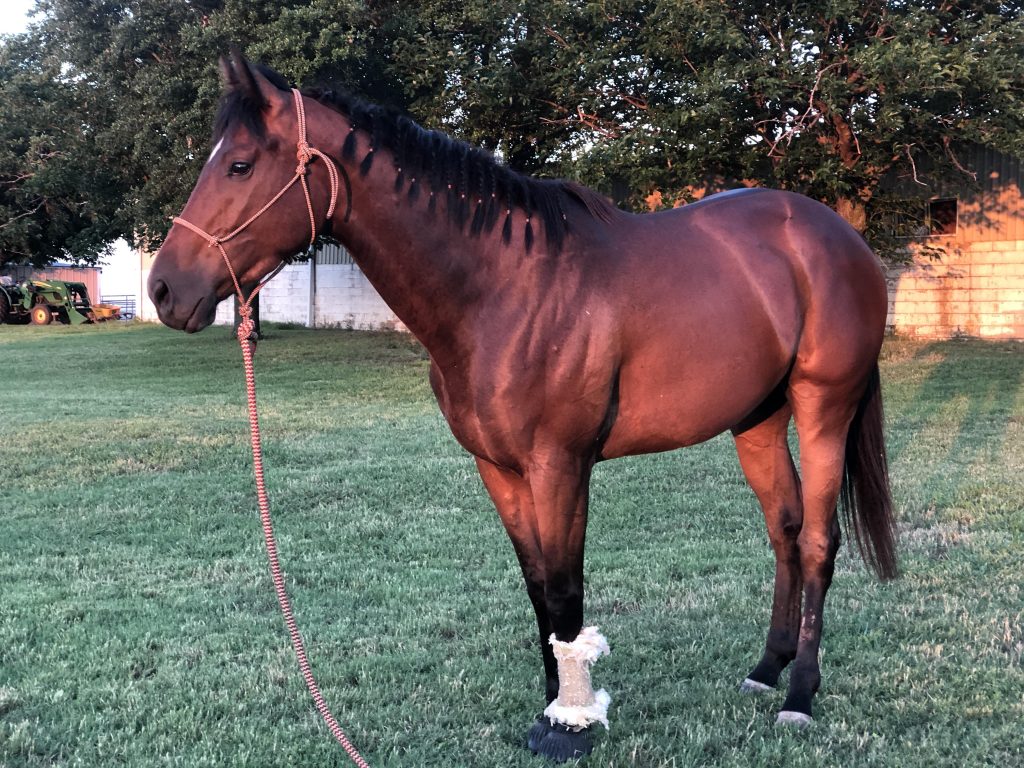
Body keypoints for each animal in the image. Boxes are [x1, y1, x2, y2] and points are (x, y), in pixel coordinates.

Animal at [149, 53, 897, 761]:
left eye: (240, 164)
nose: (163, 289)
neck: (505, 291)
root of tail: (838, 236)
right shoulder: (499, 469)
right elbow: (537, 585)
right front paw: (549, 706)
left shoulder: (560, 465)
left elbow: (566, 593)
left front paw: (572, 725)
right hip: (757, 420)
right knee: (785, 531)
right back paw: (766, 670)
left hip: (823, 408)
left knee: (819, 541)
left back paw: (799, 695)